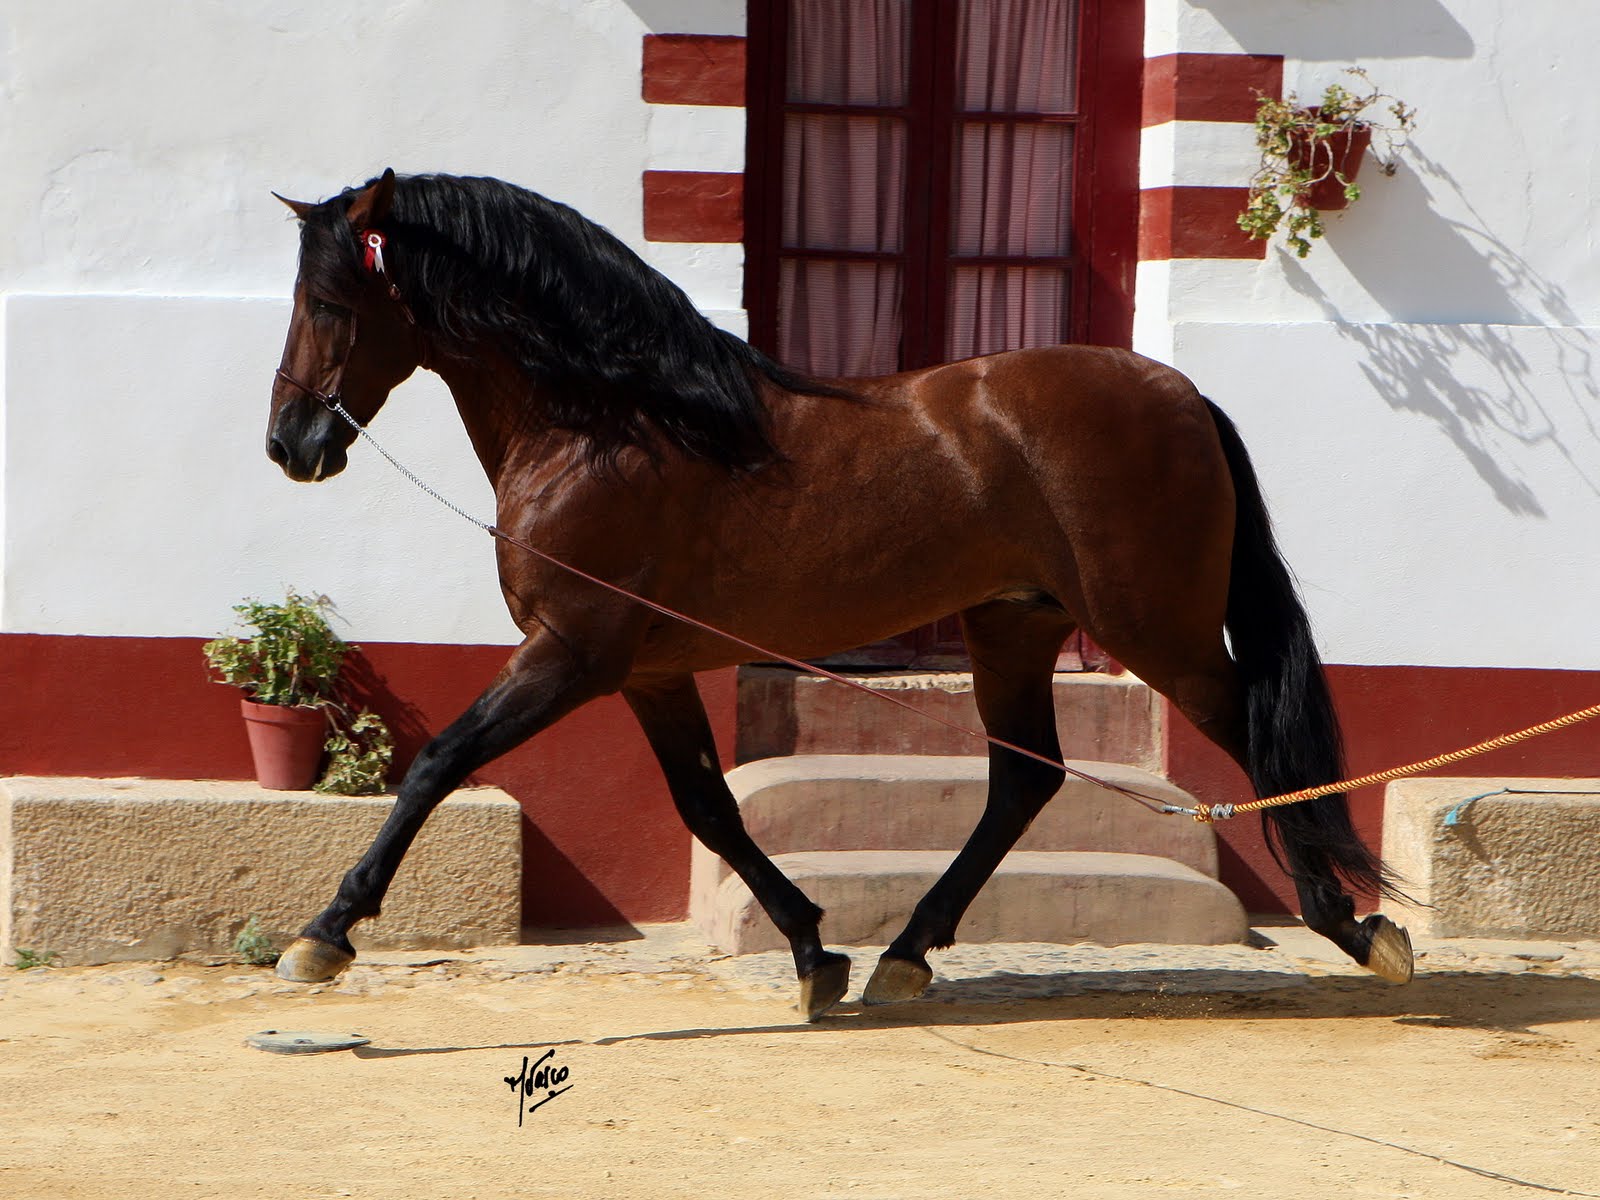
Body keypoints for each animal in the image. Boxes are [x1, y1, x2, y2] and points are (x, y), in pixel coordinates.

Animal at [265, 169, 1413, 1020]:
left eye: (328, 301)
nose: (290, 445)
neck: (611, 426)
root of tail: (1178, 391)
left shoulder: (570, 653)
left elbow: (438, 763)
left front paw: (324, 934)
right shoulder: (648, 673)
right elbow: (711, 810)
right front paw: (816, 955)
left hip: (1156, 633)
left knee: (1255, 738)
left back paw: (1356, 928)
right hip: (1014, 628)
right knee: (1022, 780)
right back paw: (907, 953)